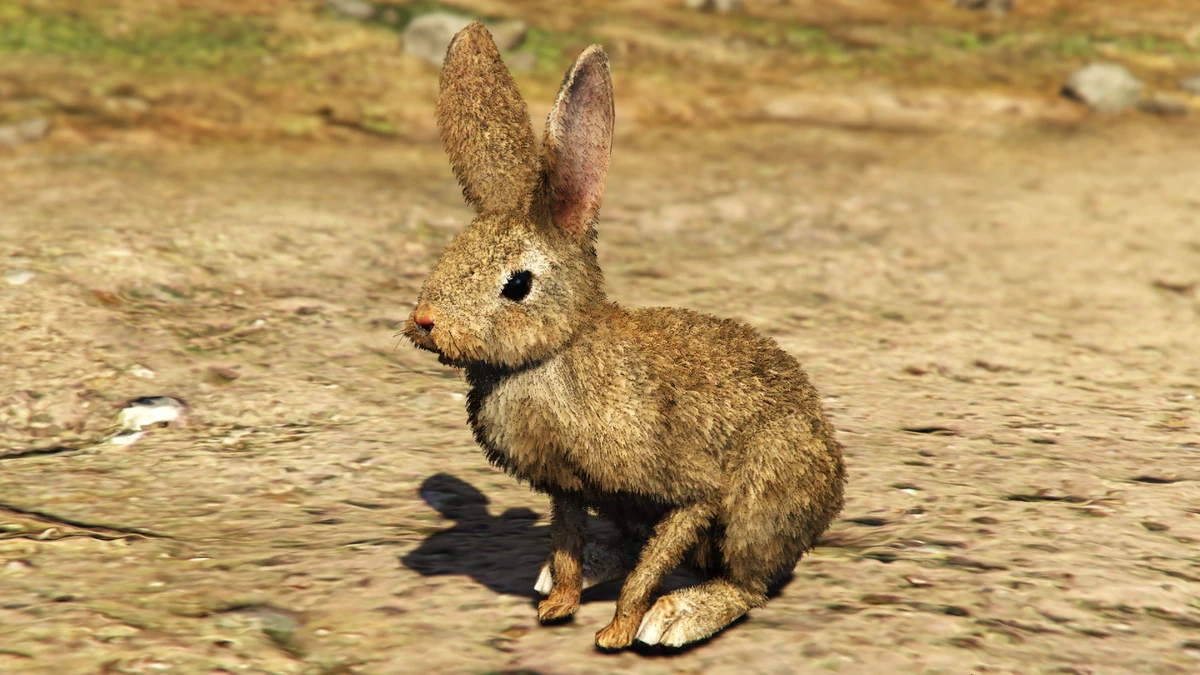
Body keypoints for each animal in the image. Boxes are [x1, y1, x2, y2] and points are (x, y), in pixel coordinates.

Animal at [404, 22, 846, 650]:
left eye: (517, 284)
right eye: (448, 254)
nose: (424, 321)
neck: (553, 355)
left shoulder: (688, 490)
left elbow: (655, 561)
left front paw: (618, 633)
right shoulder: (566, 487)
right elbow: (566, 544)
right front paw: (558, 605)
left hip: (761, 501)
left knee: (748, 581)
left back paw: (678, 618)